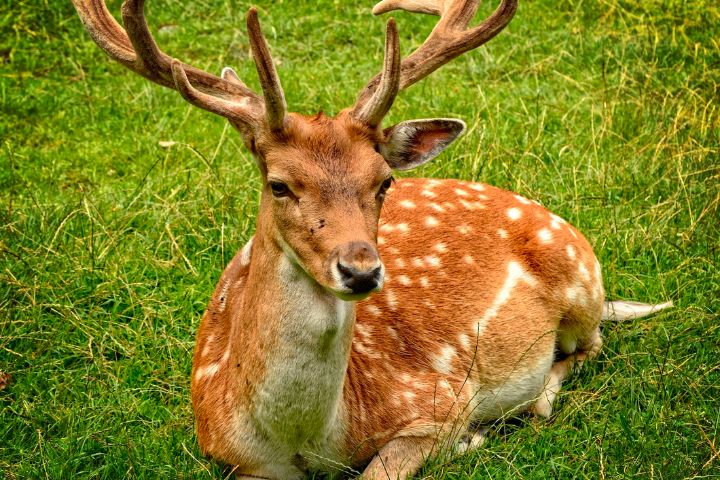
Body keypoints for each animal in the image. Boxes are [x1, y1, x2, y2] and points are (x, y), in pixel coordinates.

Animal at [72, 0, 673, 478]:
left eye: (383, 181)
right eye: (279, 184)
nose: (361, 269)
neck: (311, 438)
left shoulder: (439, 399)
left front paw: (469, 441)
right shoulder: (229, 452)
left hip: (578, 280)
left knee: (590, 346)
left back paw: (536, 401)